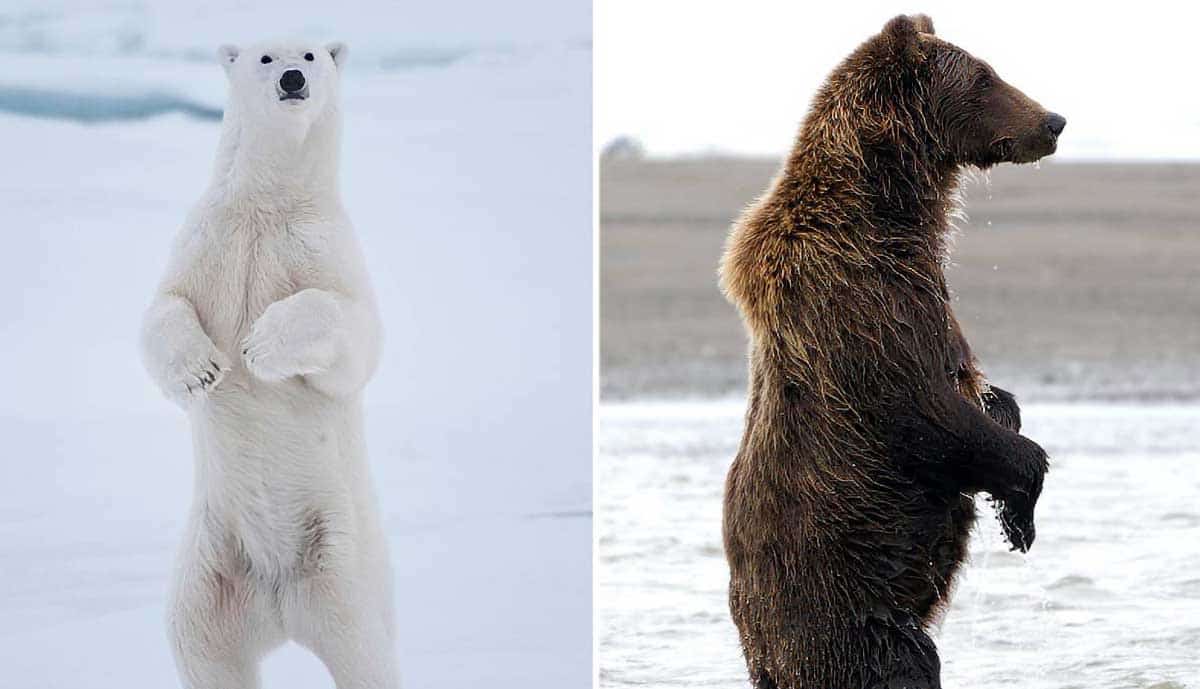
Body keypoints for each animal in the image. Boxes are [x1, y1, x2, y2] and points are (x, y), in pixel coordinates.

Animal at [139, 40, 400, 688]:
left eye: (310, 53)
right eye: (264, 56)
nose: (292, 79)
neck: (266, 204)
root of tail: (280, 606)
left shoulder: (326, 248)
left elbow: (351, 331)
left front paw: (260, 347)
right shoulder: (207, 241)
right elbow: (163, 310)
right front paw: (203, 370)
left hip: (341, 562)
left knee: (366, 652)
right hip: (209, 572)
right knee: (205, 652)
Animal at [718, 15, 1061, 689]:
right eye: (985, 77)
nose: (1054, 121)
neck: (890, 214)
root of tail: (763, 650)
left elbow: (977, 392)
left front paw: (1005, 422)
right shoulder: (862, 304)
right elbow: (921, 409)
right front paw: (1023, 503)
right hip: (843, 614)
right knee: (902, 664)